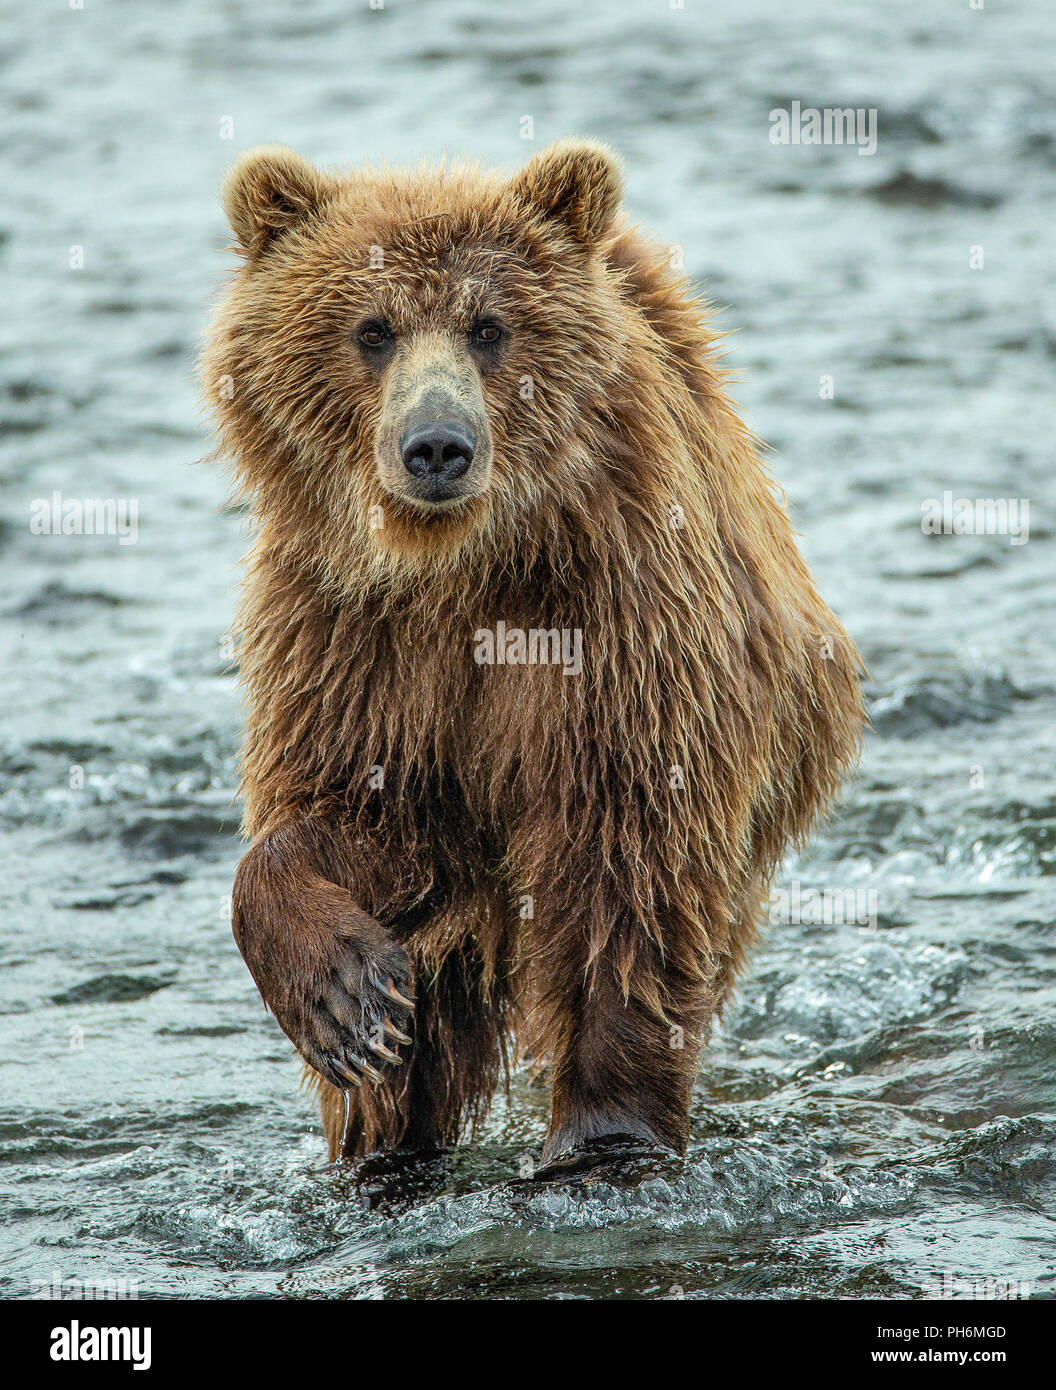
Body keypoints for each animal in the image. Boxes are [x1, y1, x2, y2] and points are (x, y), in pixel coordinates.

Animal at [201, 139, 864, 1170]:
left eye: (487, 326)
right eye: (373, 329)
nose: (437, 445)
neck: (460, 569)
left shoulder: (618, 629)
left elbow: (625, 870)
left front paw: (604, 1128)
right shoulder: (353, 642)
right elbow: (350, 805)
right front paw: (348, 1004)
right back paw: (385, 1147)